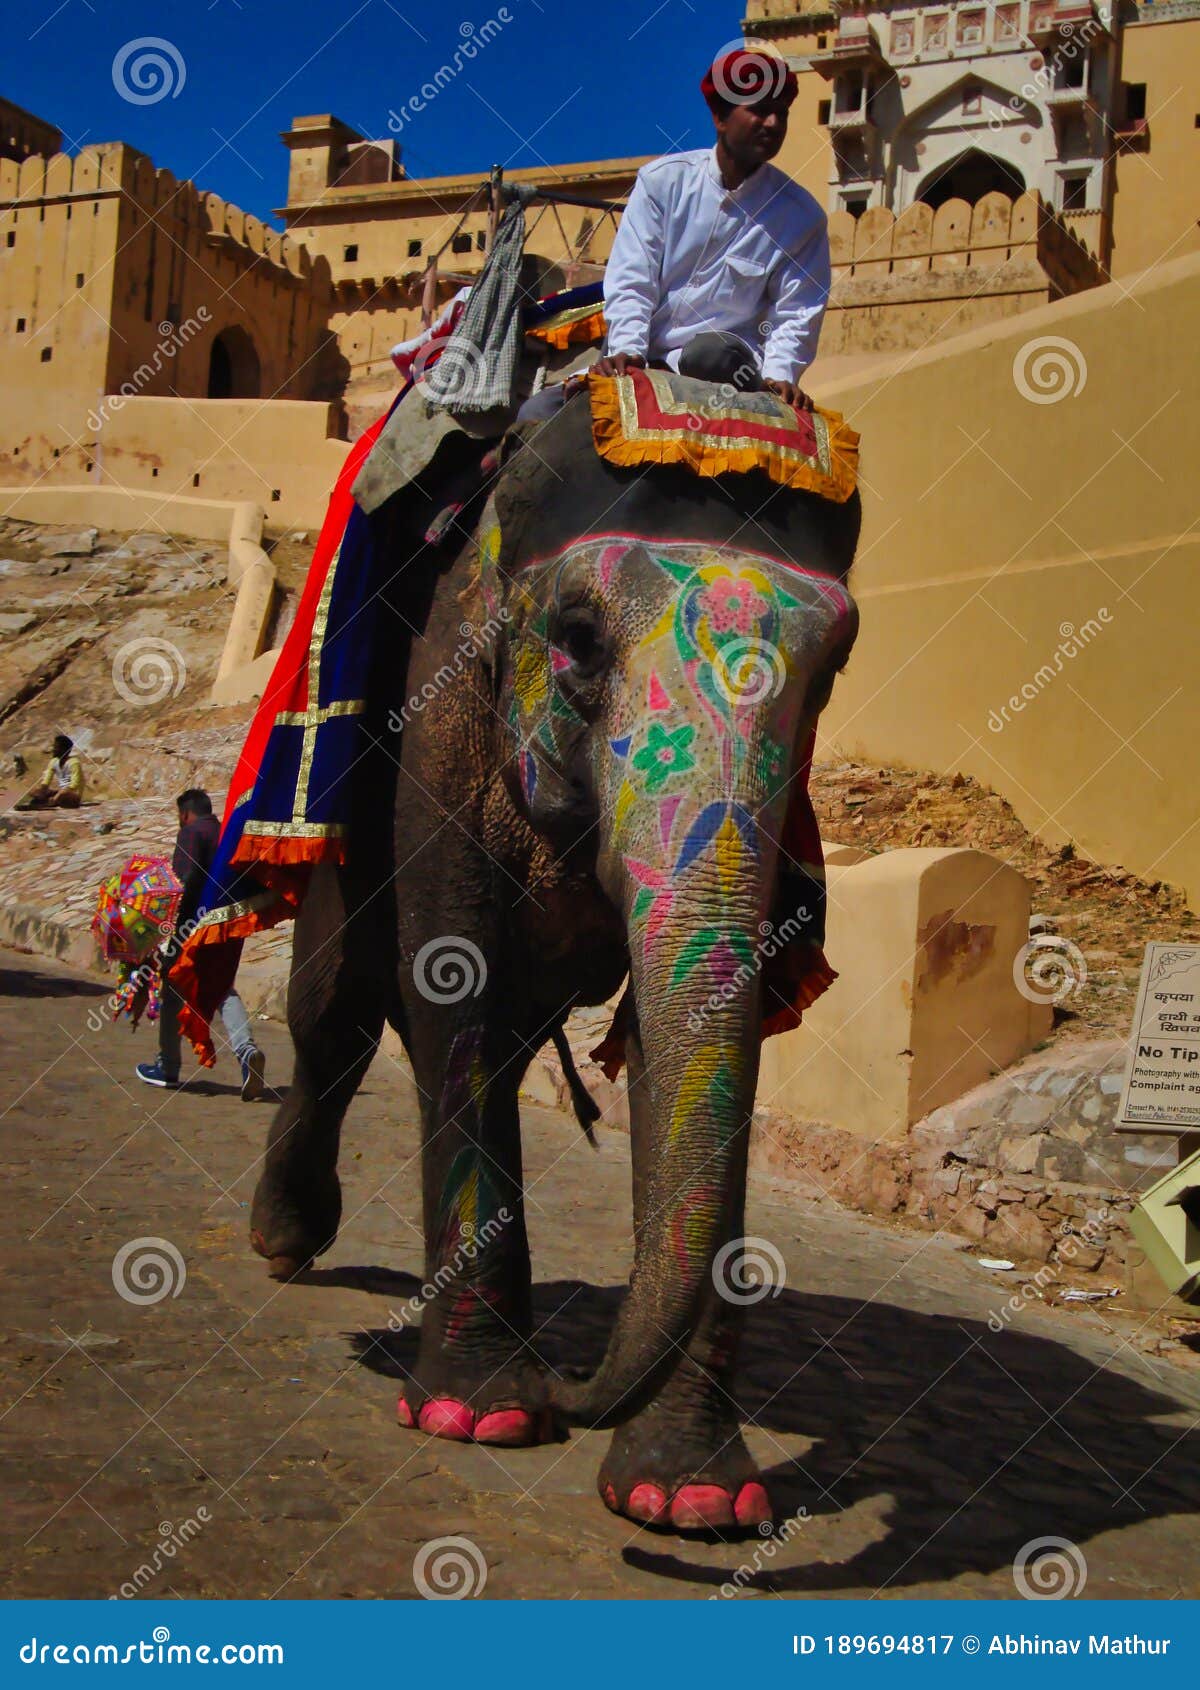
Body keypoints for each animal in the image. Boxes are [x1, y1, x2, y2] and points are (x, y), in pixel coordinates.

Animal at [249, 382, 860, 1534]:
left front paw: (693, 1499)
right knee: (332, 1008)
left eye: (834, 669)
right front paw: (484, 1415)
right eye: (577, 639)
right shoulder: (442, 706)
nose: (570, 1382)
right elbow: (449, 979)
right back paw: (286, 1241)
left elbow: (704, 1045)